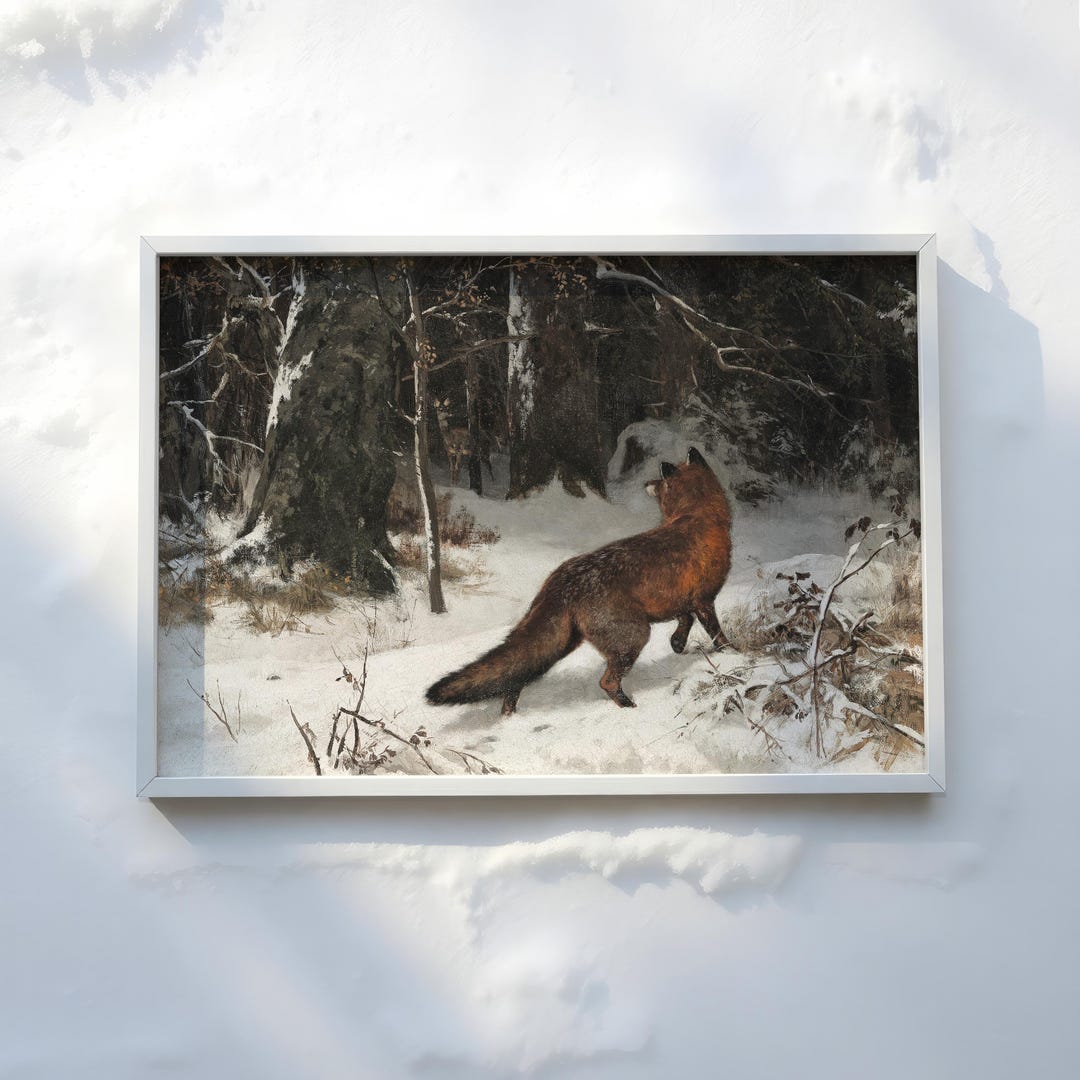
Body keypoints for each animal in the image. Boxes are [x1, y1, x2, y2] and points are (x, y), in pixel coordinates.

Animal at [425, 446, 732, 714]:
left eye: (659, 482)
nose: (647, 482)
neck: (698, 516)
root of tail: (562, 579)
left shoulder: (682, 598)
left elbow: (685, 619)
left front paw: (678, 644)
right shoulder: (704, 600)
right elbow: (716, 634)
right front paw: (732, 654)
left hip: (562, 643)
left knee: (515, 679)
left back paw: (508, 717)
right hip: (633, 636)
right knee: (606, 682)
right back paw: (628, 706)